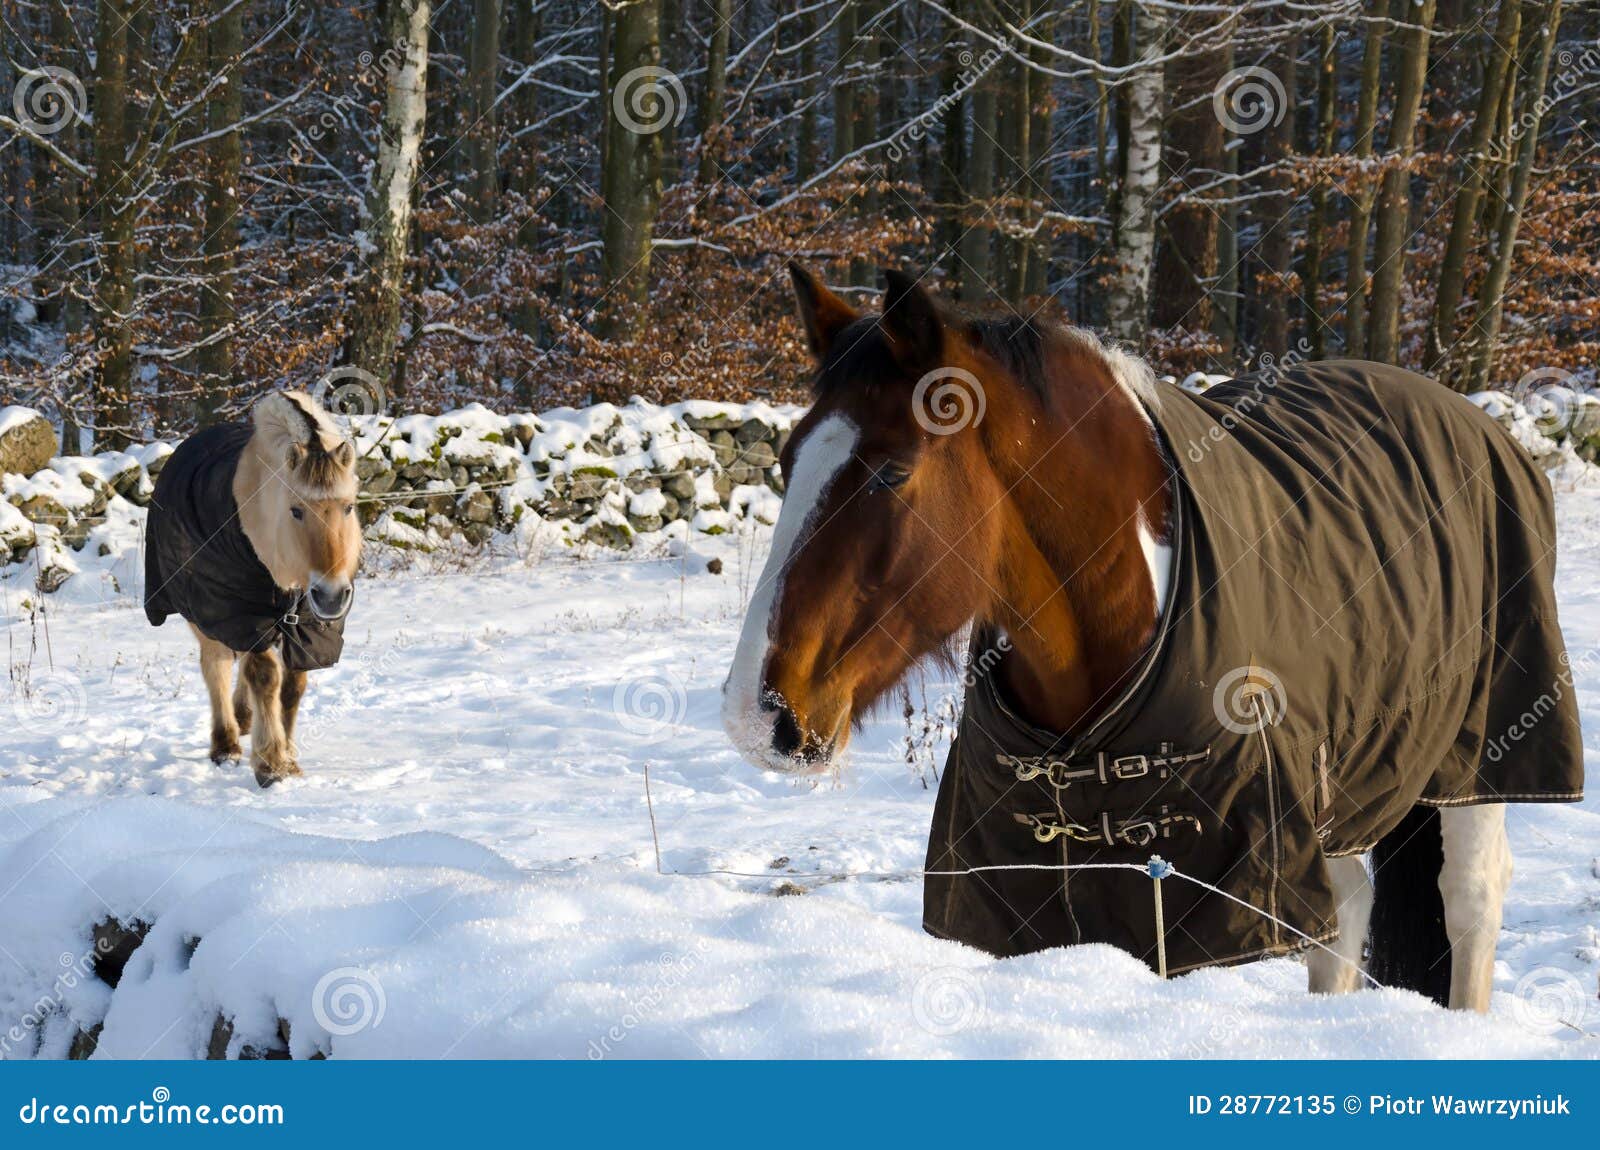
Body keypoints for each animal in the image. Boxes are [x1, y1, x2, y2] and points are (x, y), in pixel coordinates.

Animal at [145, 391, 362, 788]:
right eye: (296, 511)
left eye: (349, 507)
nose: (331, 595)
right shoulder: (238, 611)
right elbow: (265, 676)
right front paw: (271, 764)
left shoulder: (306, 623)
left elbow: (292, 686)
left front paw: (288, 756)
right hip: (207, 613)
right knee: (215, 666)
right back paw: (226, 744)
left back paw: (244, 718)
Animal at [723, 265, 1583, 1010]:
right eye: (789, 458)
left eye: (891, 472)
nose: (755, 717)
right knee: (1347, 914)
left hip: (1476, 757)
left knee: (1469, 900)